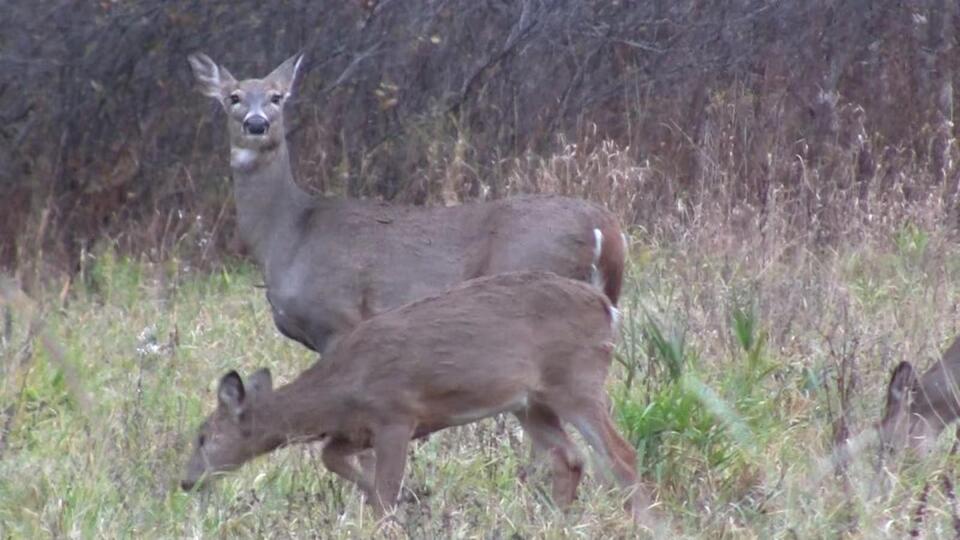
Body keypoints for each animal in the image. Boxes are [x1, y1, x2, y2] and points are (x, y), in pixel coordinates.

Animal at [180, 272, 656, 525]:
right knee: (570, 458)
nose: (186, 482)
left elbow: (387, 487)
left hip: (576, 381)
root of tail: (607, 308)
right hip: (529, 403)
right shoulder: (357, 427)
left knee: (621, 453)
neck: (339, 388)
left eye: (203, 436)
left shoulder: (396, 415)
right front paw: (375, 500)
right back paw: (554, 522)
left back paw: (646, 522)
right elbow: (332, 457)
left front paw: (388, 516)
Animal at [186, 52, 627, 357]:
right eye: (233, 97)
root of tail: (604, 227)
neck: (290, 232)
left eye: (276, 97)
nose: (256, 123)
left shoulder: (338, 317)